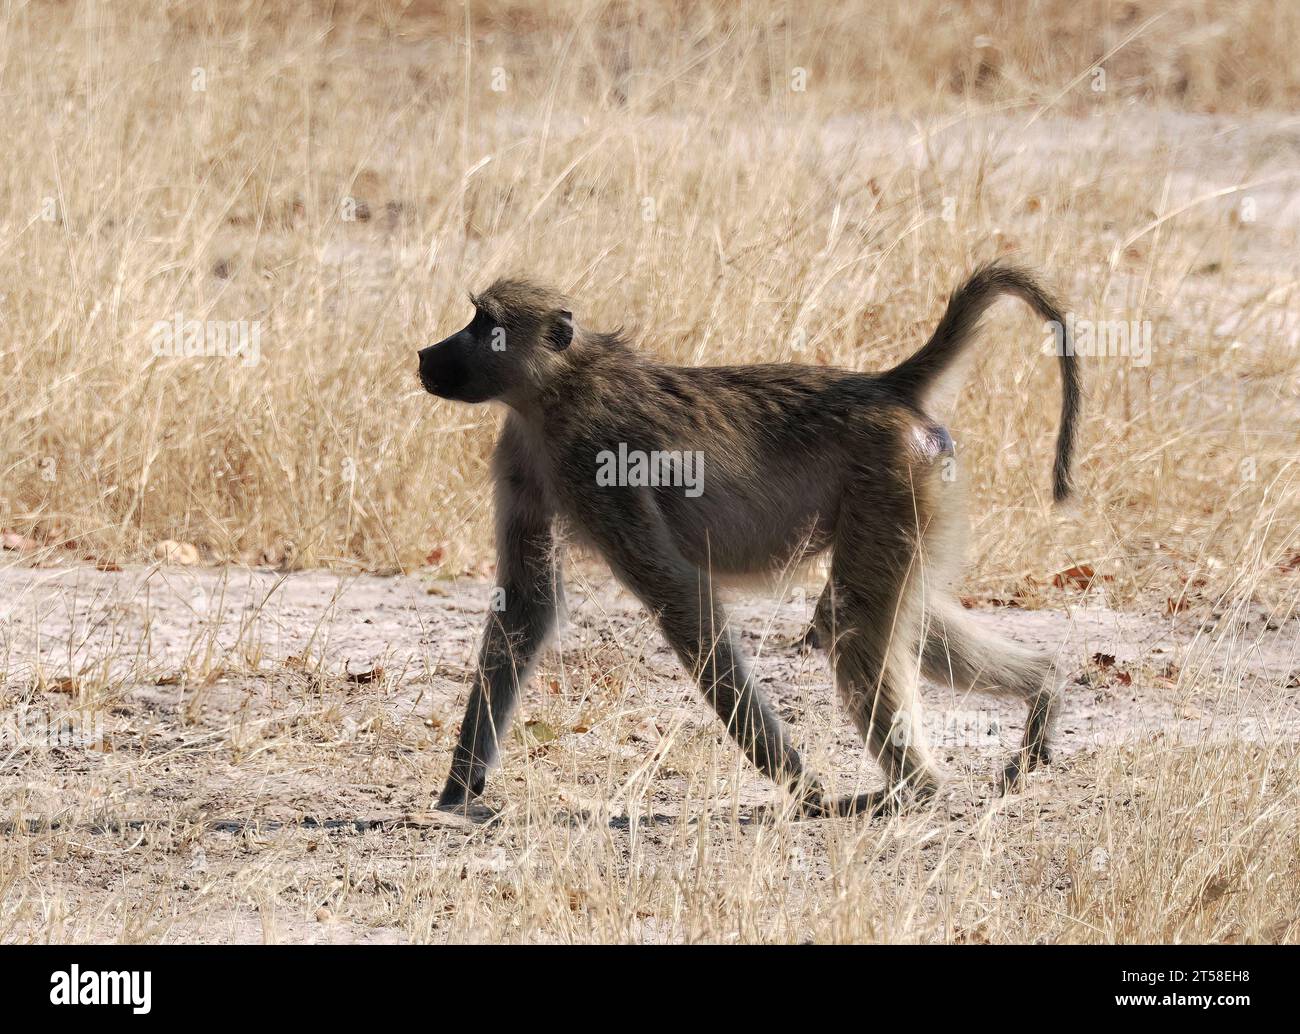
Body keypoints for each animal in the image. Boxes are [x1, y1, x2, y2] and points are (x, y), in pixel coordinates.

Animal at [418, 263, 1081, 817]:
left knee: (850, 622)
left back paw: (914, 790)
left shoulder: (595, 463)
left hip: (895, 485)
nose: (426, 354)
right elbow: (525, 604)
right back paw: (1042, 690)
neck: (555, 389)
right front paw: (459, 786)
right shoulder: (522, 454)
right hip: (918, 500)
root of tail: (885, 388)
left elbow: (680, 597)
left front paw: (799, 783)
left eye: (484, 323)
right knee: (883, 615)